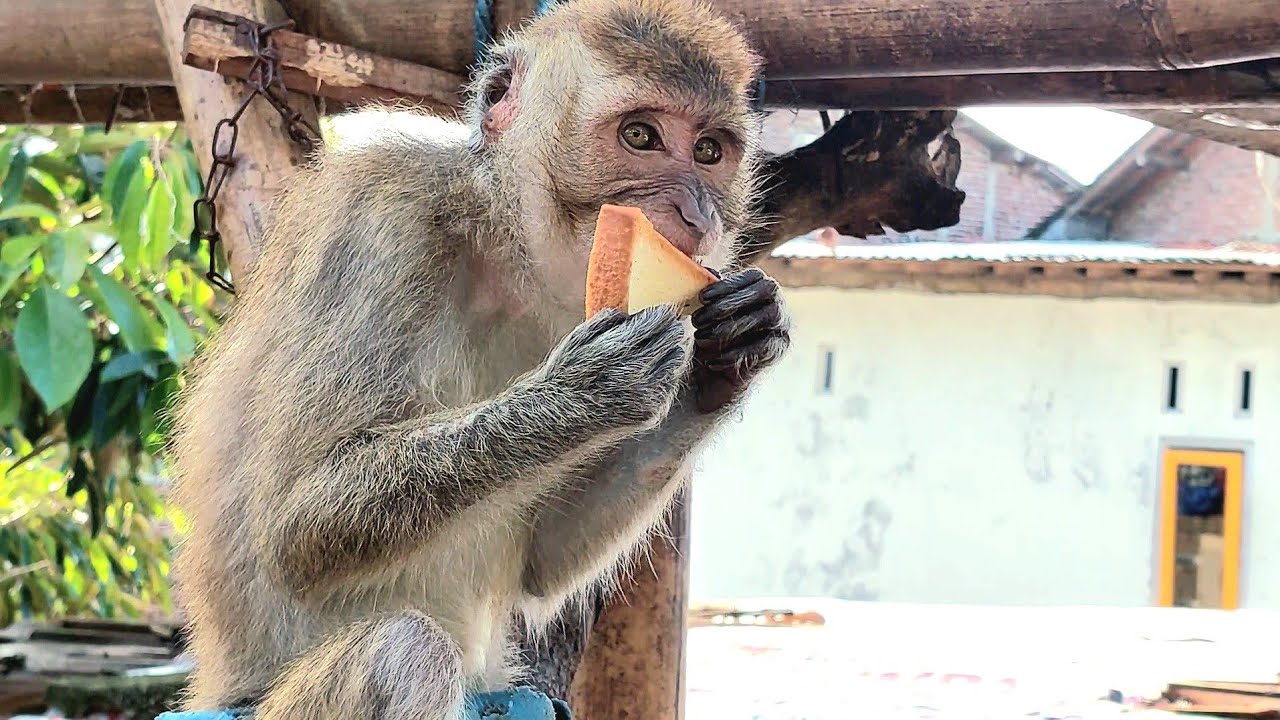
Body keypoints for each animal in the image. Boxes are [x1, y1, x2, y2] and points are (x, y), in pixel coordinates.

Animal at [164, 0, 791, 717]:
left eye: (709, 151)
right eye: (641, 136)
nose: (696, 214)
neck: (498, 241)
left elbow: (543, 559)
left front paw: (729, 354)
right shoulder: (380, 220)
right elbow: (293, 526)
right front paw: (585, 392)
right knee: (405, 654)